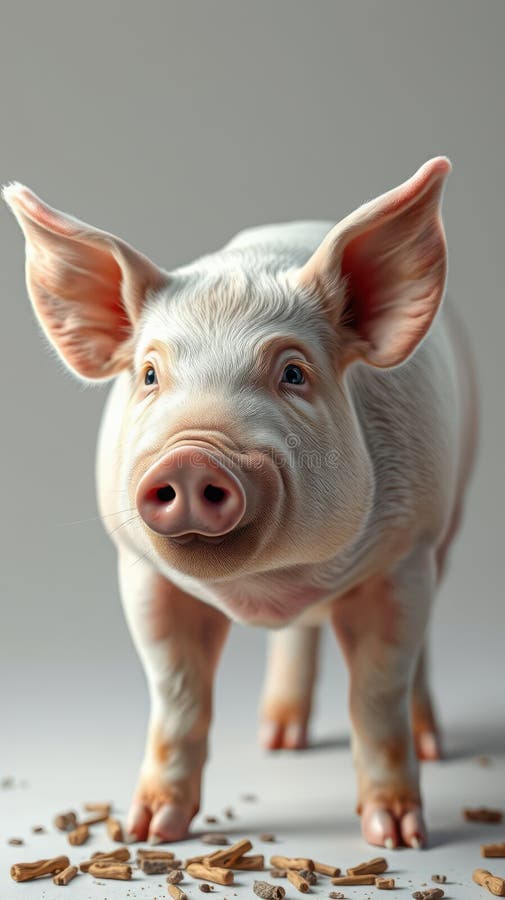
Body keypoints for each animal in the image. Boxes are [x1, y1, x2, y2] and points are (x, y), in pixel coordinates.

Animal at [3, 157, 478, 850]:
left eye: (293, 373)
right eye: (150, 374)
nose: (192, 455)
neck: (267, 591)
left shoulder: (402, 556)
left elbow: (376, 694)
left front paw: (396, 837)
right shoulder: (141, 574)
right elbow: (177, 694)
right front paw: (149, 832)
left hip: (448, 523)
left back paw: (432, 748)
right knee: (297, 640)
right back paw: (278, 742)